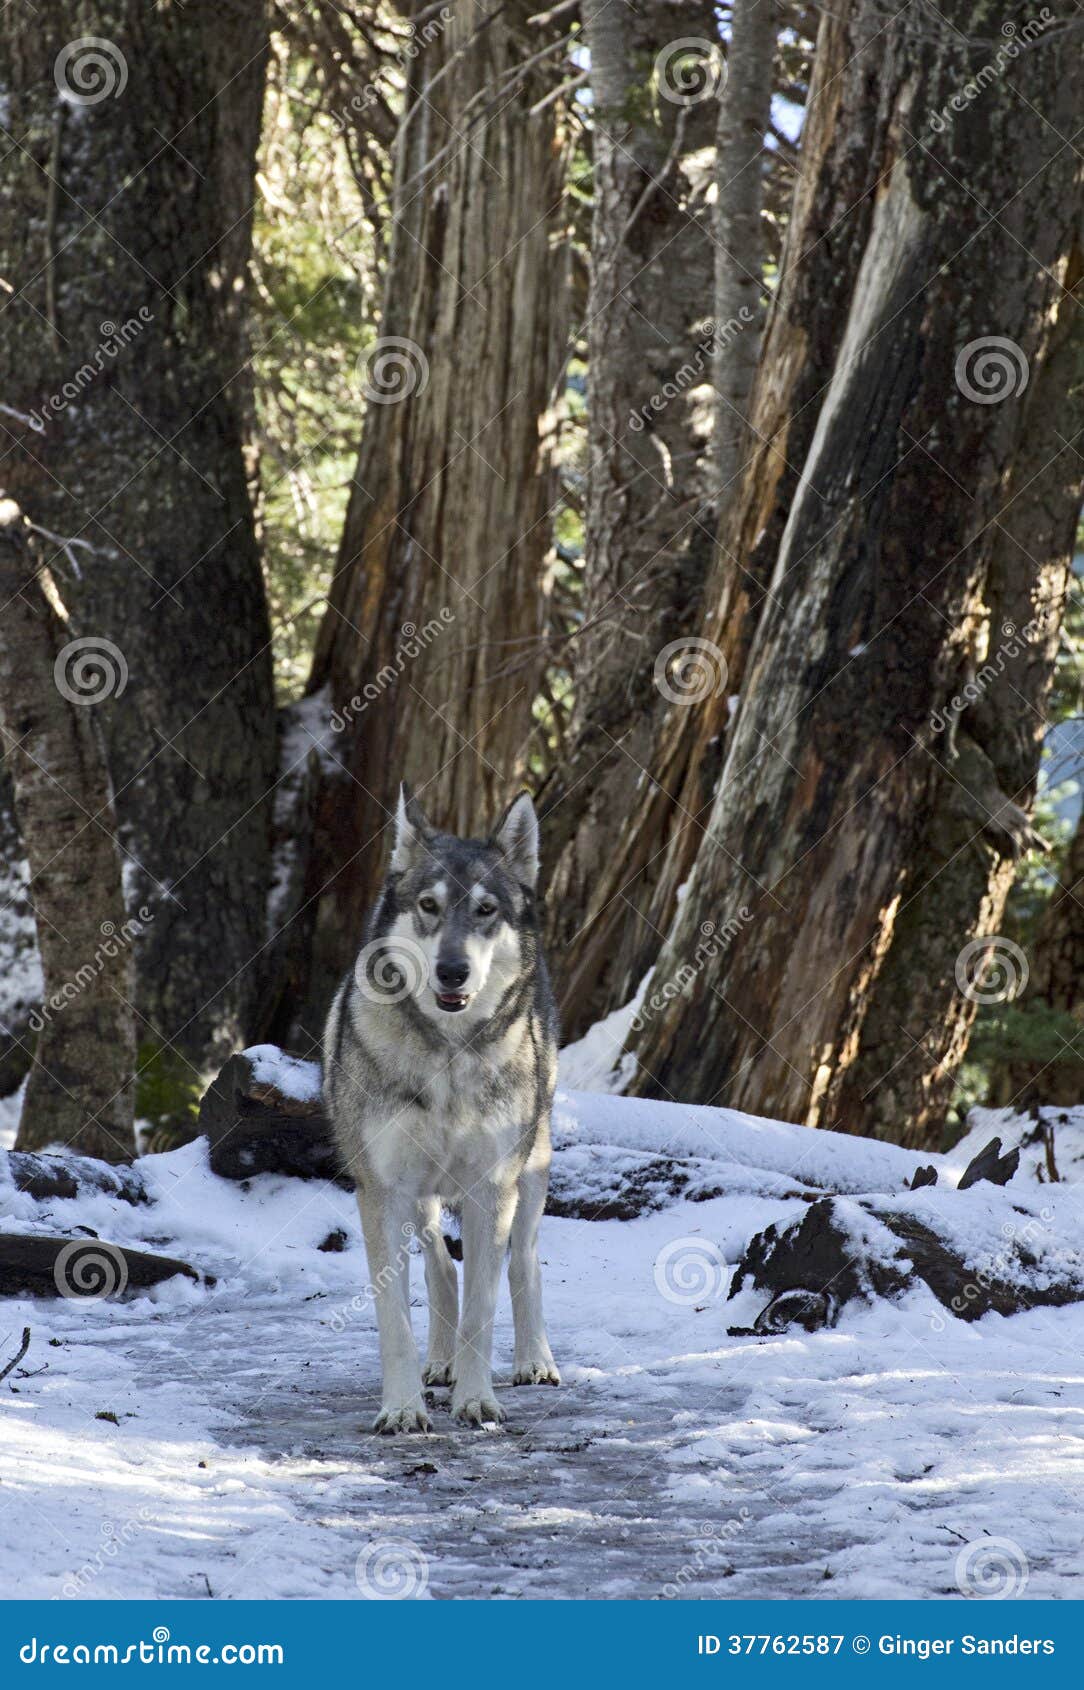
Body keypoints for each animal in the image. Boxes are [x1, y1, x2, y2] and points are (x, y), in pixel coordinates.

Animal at [323, 784, 560, 1433]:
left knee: (524, 1263)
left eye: (485, 911)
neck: (450, 1054)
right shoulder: (383, 1192)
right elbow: (395, 1320)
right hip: (421, 1200)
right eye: (428, 905)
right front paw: (403, 1409)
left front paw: (478, 1402)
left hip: (531, 1174)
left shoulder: (490, 1190)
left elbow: (483, 1305)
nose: (453, 971)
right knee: (440, 1268)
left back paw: (533, 1361)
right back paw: (440, 1363)